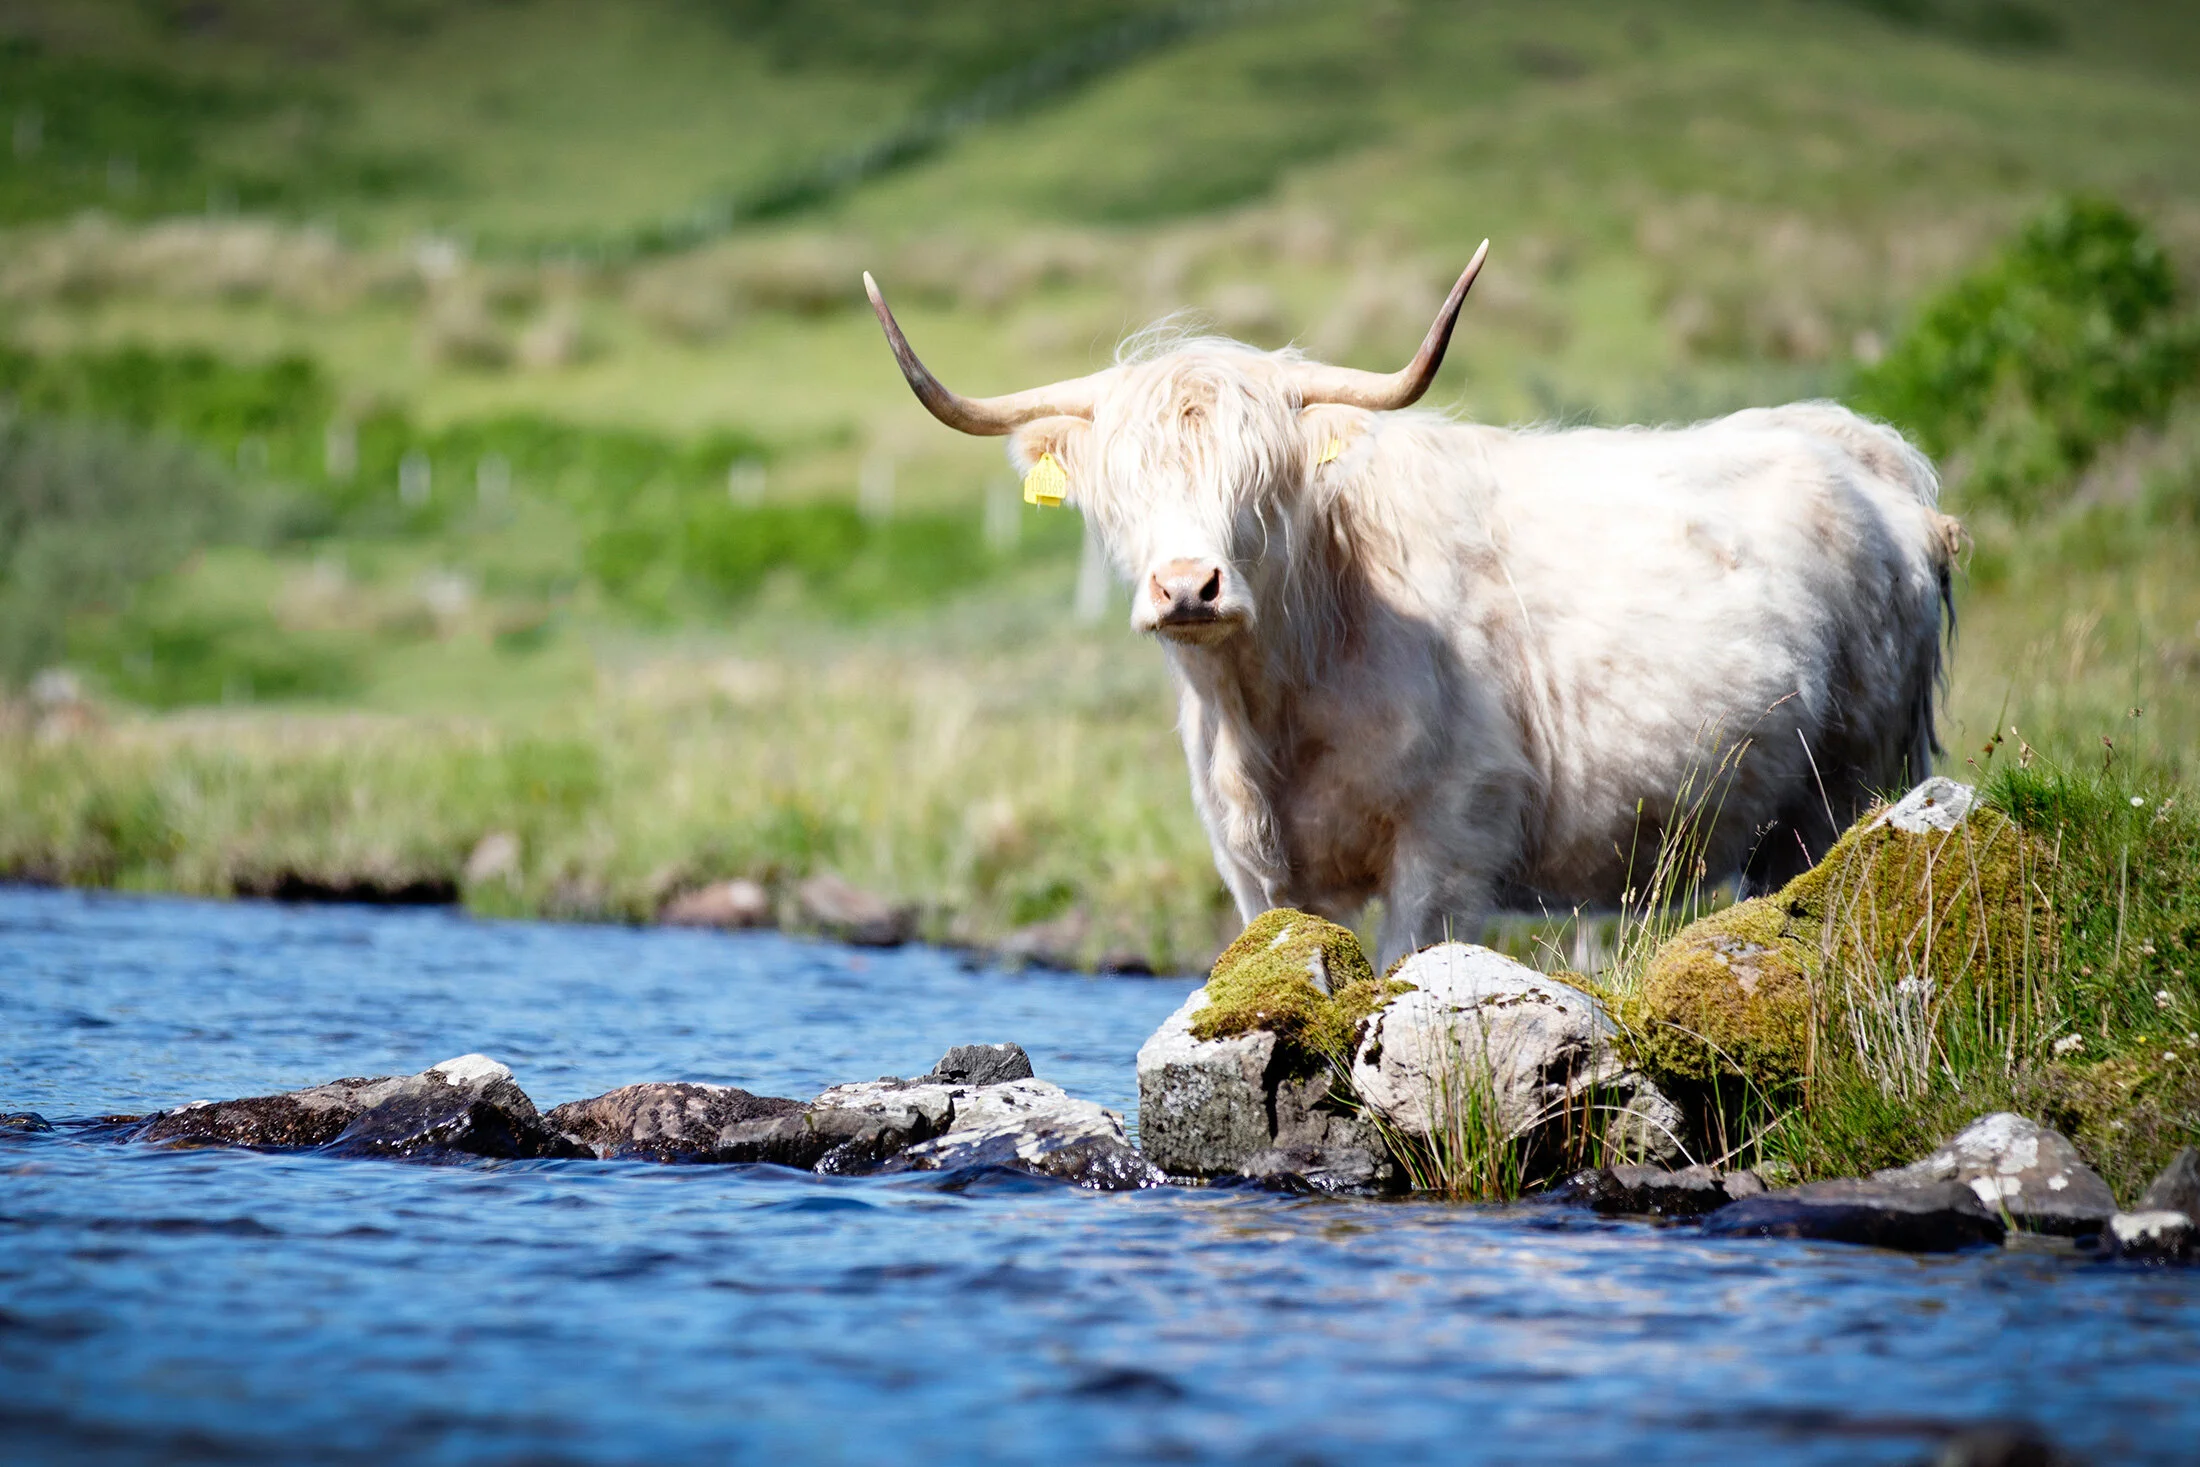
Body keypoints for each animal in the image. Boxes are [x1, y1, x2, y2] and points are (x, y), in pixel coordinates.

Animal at [863, 242, 1961, 966]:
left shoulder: (1447, 846)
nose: (1187, 588)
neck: (1276, 709)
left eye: (1260, 481)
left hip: (1849, 788)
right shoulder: (1256, 871)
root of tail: (1863, 445)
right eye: (1120, 491)